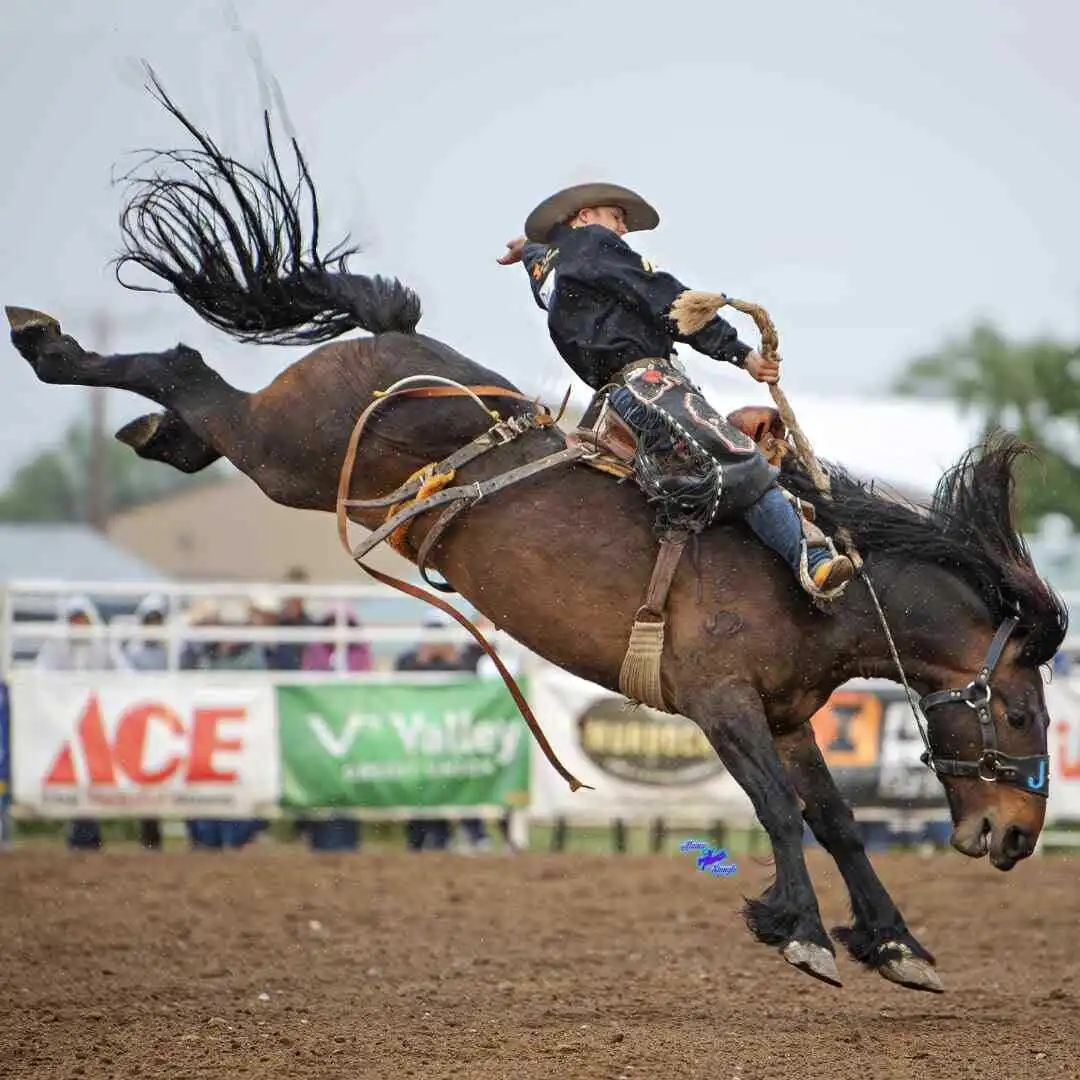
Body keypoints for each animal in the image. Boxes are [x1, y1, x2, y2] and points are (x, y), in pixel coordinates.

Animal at [6, 74, 1067, 994]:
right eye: (1023, 714)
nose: (1017, 837)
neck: (818, 592)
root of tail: (391, 343)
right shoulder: (719, 702)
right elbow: (778, 811)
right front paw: (802, 931)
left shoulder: (786, 717)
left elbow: (839, 819)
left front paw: (896, 945)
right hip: (284, 451)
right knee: (187, 370)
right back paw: (49, 344)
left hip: (283, 453)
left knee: (197, 396)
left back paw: (148, 427)